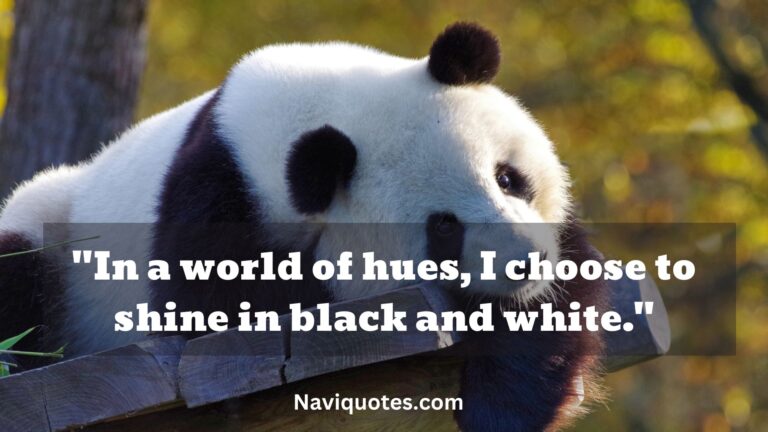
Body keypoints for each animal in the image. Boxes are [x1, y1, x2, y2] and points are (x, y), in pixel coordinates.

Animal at [0, 22, 607, 431]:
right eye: (442, 228)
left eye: (508, 177)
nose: (526, 261)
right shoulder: (213, 199)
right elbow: (215, 308)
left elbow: (558, 298)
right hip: (53, 226)